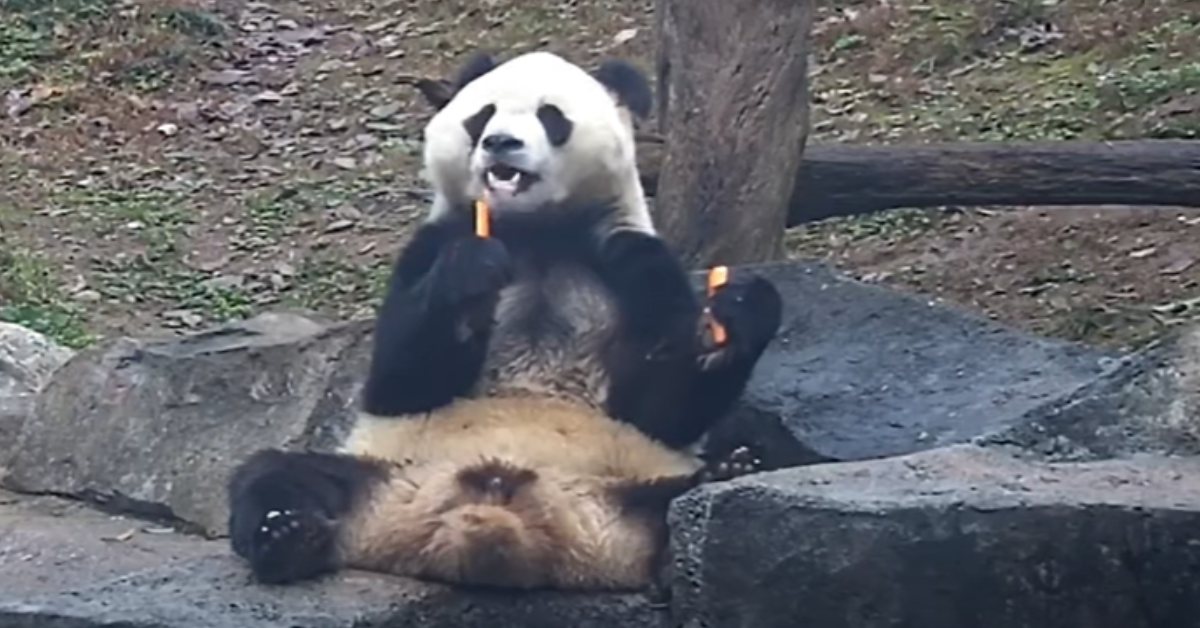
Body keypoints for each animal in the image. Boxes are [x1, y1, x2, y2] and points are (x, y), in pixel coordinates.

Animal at [226, 50, 784, 592]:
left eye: (551, 116)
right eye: (482, 115)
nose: (500, 144)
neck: (534, 229)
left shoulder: (631, 255)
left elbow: (660, 411)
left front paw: (735, 320)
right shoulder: (430, 243)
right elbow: (398, 382)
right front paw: (470, 274)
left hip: (628, 484)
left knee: (690, 510)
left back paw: (722, 482)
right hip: (387, 471)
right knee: (274, 472)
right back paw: (288, 534)